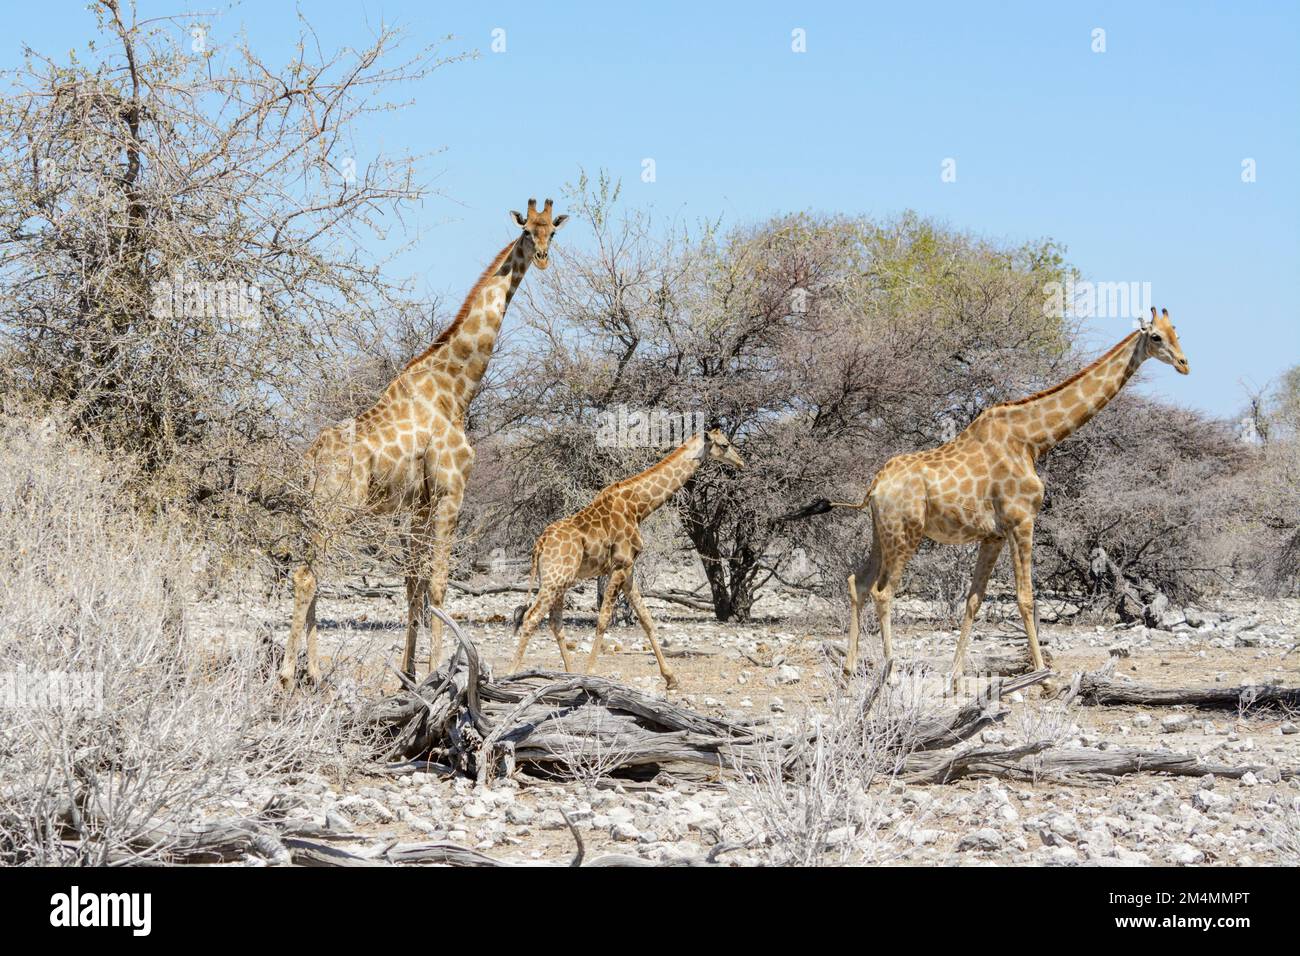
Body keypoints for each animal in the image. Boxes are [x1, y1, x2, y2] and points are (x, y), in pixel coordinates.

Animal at [281, 199, 567, 689]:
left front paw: (409, 673)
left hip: (314, 511)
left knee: (312, 576)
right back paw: (287, 675)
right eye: (528, 230)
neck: (454, 388)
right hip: (336, 508)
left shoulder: (418, 503)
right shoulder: (451, 491)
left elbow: (412, 584)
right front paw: (439, 672)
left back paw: (314, 672)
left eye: (554, 230)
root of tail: (311, 458)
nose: (545, 258)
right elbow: (437, 583)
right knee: (306, 576)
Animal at [510, 429, 746, 688]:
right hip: (554, 580)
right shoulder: (620, 565)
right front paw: (589, 674)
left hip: (559, 580)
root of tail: (539, 544)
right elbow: (603, 619)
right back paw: (510, 676)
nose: (741, 462)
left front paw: (671, 678)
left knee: (554, 622)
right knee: (531, 617)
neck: (639, 506)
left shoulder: (629, 568)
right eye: (725, 445)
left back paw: (566, 676)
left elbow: (645, 618)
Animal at [782, 308, 1189, 691]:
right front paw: (1043, 679)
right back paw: (891, 674)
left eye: (1176, 333)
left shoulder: (992, 535)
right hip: (906, 534)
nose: (1185, 363)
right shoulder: (1022, 521)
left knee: (859, 583)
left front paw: (955, 678)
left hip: (882, 533)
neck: (1033, 441)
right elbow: (1026, 598)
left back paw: (849, 671)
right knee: (884, 592)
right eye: (1156, 337)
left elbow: (974, 600)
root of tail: (875, 486)